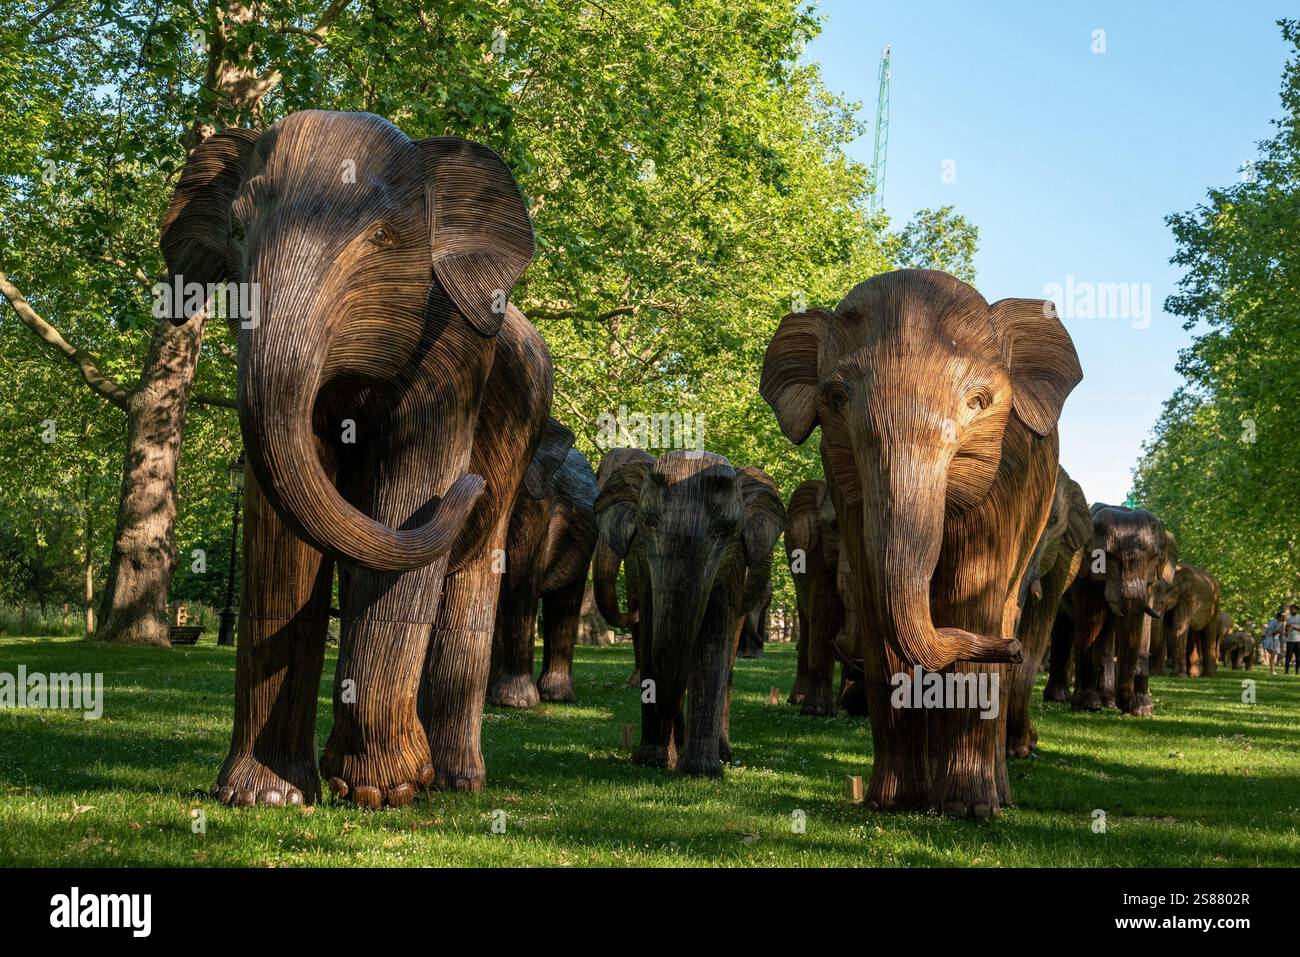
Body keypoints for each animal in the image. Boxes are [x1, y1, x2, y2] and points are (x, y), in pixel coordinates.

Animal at [163, 110, 552, 807]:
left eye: (382, 237)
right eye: (237, 230)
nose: (472, 483)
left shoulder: (453, 352)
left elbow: (410, 497)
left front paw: (381, 790)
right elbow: (281, 531)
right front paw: (262, 796)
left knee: (472, 571)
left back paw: (455, 780)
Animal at [1067, 504, 1173, 716]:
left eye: (1153, 558)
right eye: (1107, 558)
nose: (1126, 707)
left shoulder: (1150, 584)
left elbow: (1144, 628)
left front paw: (1142, 709)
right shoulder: (1085, 575)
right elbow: (1090, 623)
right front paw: (1087, 706)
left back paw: (1108, 702)